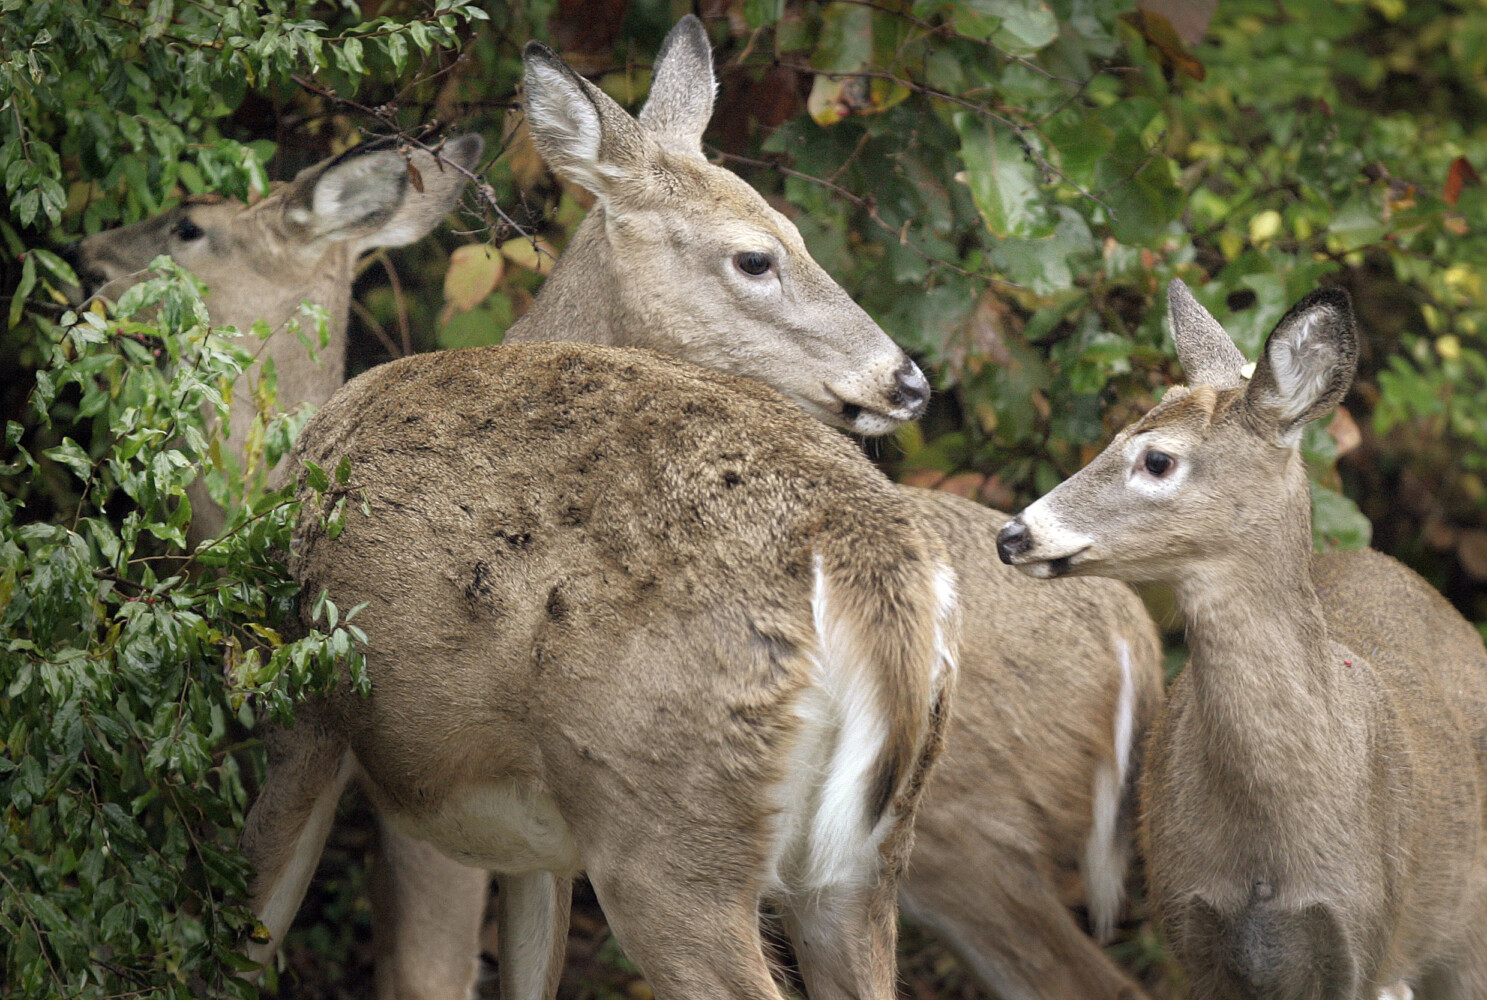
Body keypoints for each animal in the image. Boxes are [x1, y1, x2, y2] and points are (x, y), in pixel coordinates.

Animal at [242, 339, 960, 1000]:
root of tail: (867, 553)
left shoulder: (306, 718)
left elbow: (250, 925)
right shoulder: (534, 837)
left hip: (664, 826)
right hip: (864, 861)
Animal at [997, 279, 1487, 999]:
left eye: (1157, 459)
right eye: (1112, 435)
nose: (1013, 534)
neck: (1266, 858)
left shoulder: (1362, 939)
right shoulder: (1188, 929)